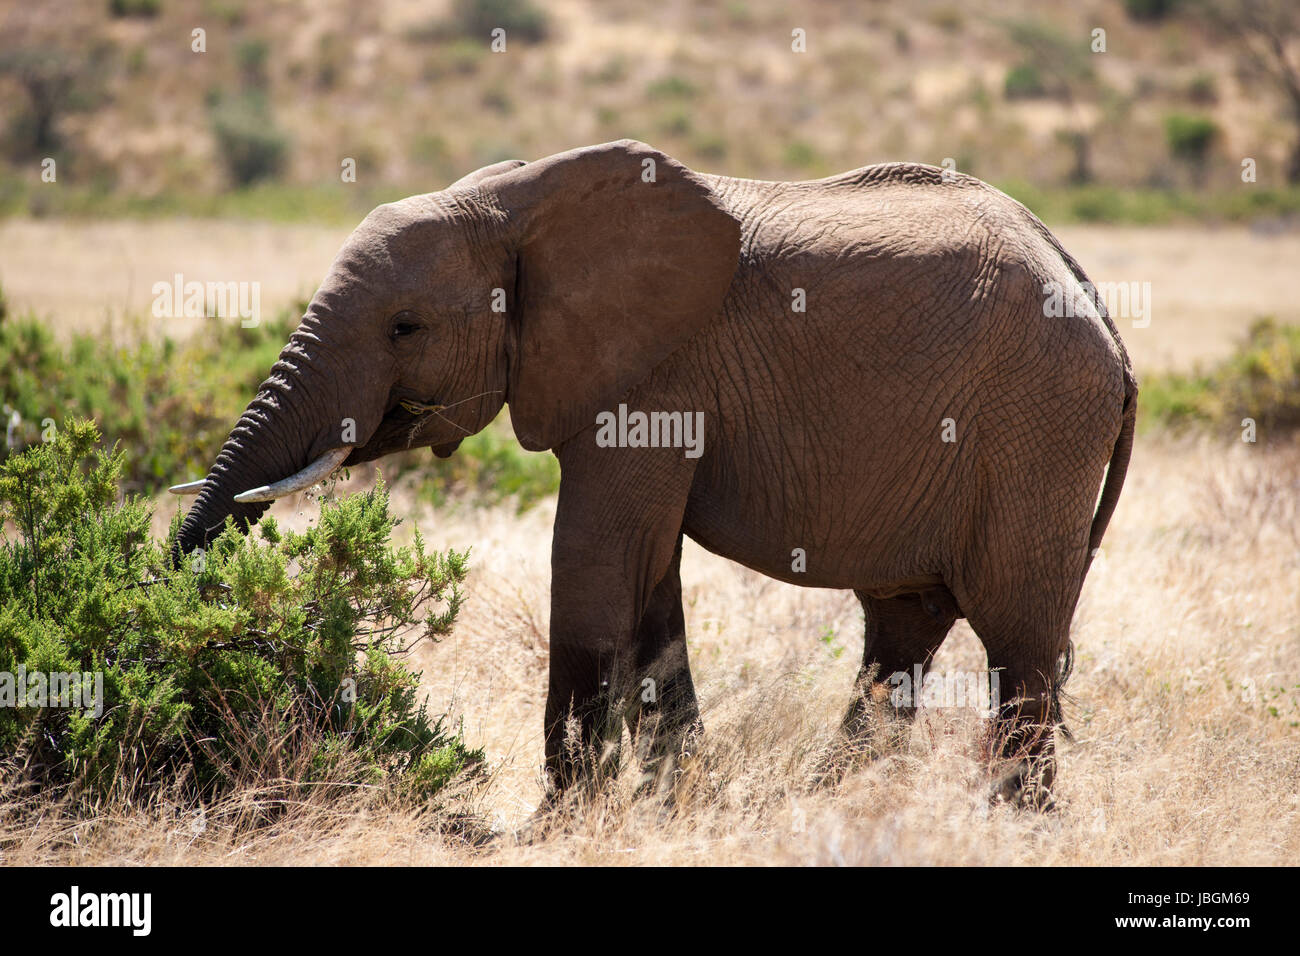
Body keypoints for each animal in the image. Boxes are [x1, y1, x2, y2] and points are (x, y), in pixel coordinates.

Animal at [172, 139, 1137, 809]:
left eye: (405, 327)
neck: (515, 201)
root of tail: (1101, 310)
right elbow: (649, 582)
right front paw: (679, 801)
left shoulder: (654, 378)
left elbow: (594, 563)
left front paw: (559, 824)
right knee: (904, 631)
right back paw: (829, 801)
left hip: (1038, 431)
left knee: (1016, 641)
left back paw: (1010, 823)